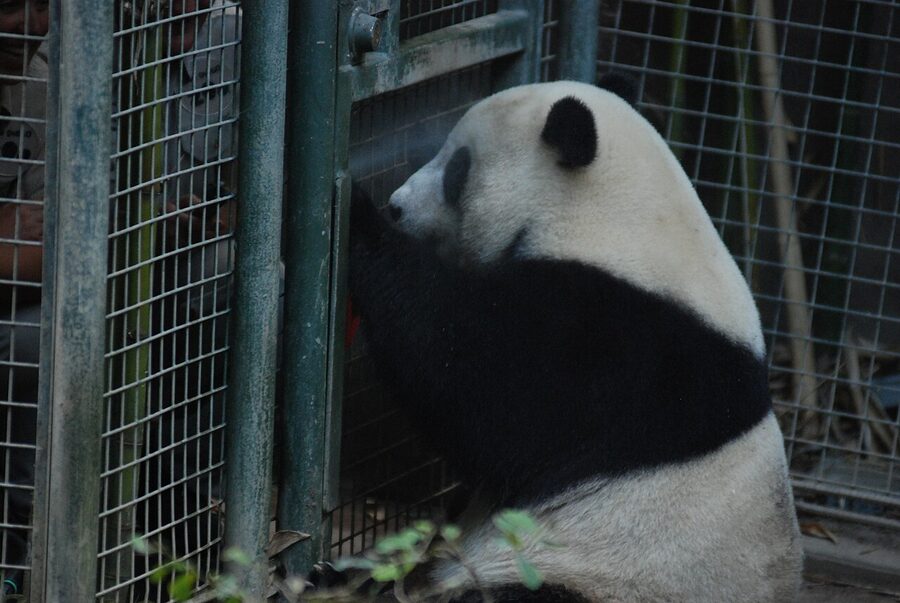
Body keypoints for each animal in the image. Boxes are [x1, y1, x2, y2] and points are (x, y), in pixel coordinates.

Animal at [347, 76, 802, 602]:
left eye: (458, 167)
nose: (396, 205)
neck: (616, 213)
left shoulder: (623, 344)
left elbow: (484, 385)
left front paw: (357, 216)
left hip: (595, 575)